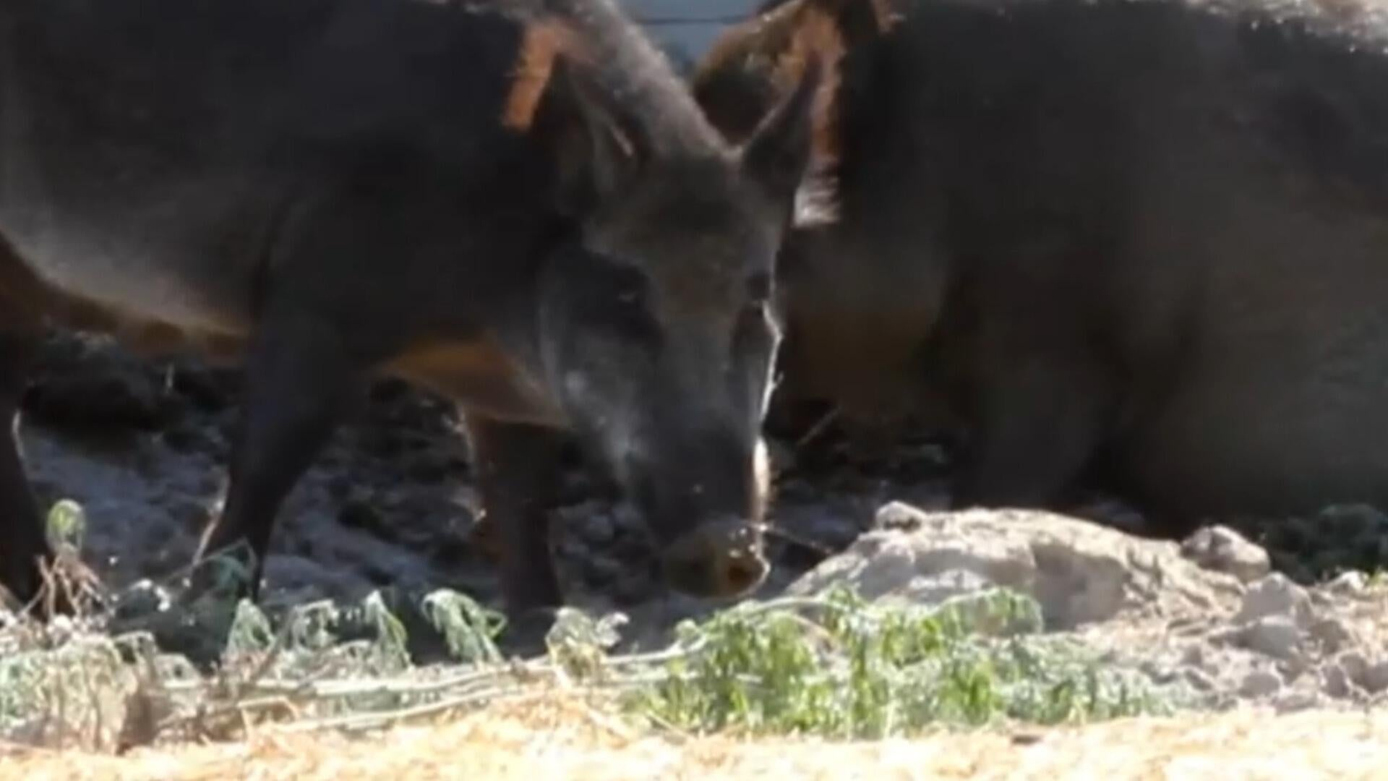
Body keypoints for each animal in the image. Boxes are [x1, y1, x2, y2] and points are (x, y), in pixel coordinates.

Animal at [0, 0, 823, 626]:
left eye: (755, 298)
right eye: (628, 292)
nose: (728, 543)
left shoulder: (506, 395)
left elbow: (520, 507)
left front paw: (545, 631)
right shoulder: (316, 300)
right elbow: (266, 462)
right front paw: (207, 620)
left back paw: (71, 604)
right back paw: (82, 605)